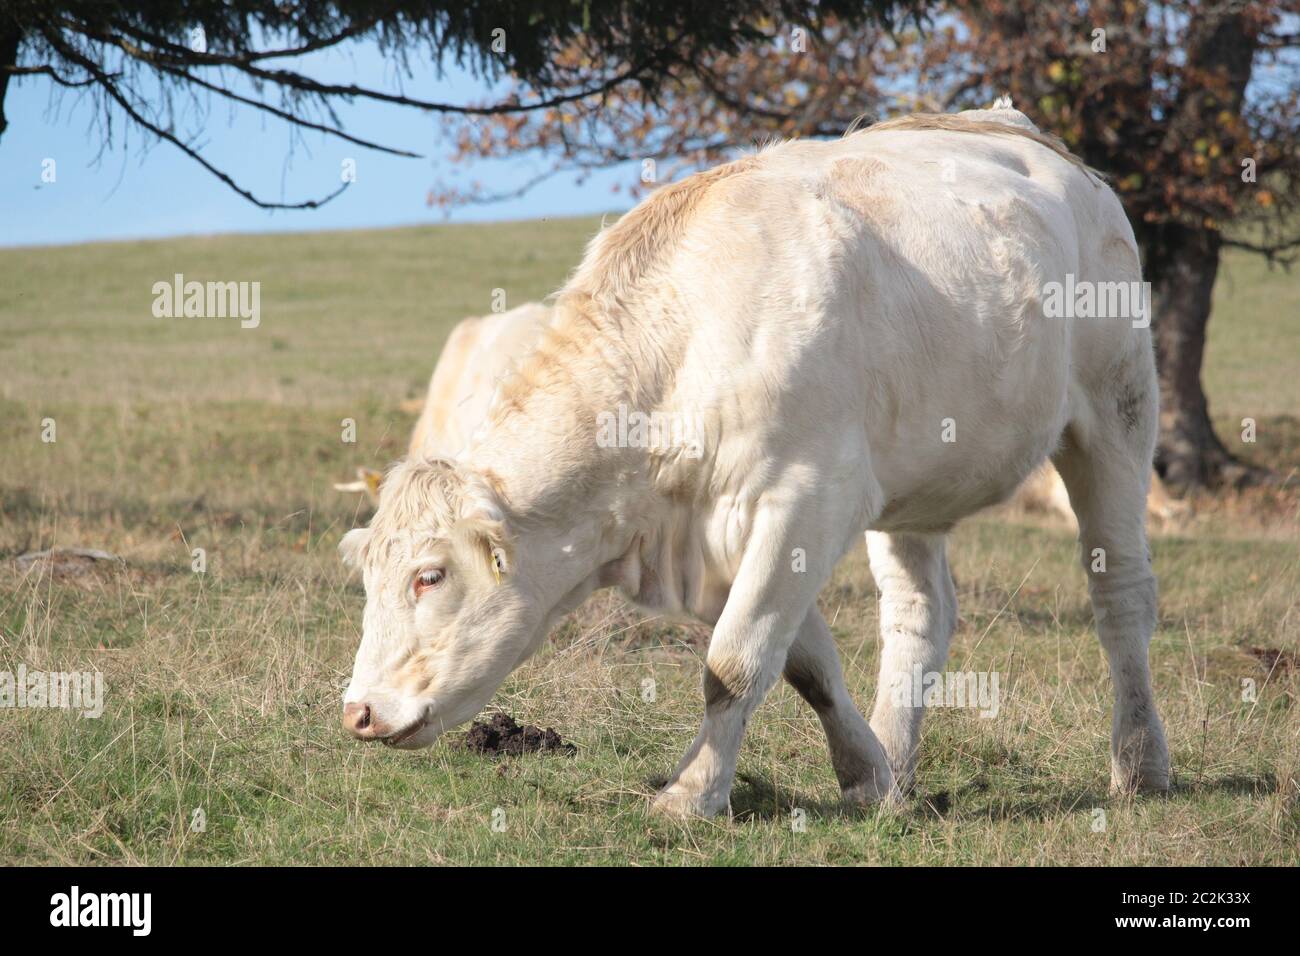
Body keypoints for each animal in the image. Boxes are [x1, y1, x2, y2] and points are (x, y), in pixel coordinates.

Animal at [339, 105, 1170, 817]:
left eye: (429, 576)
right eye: (370, 577)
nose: (359, 711)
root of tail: (1024, 134)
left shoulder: (805, 500)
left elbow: (734, 663)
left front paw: (692, 794)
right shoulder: (718, 542)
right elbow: (806, 667)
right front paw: (871, 779)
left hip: (1117, 413)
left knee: (1120, 593)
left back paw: (1140, 764)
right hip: (913, 482)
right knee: (918, 615)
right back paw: (902, 758)